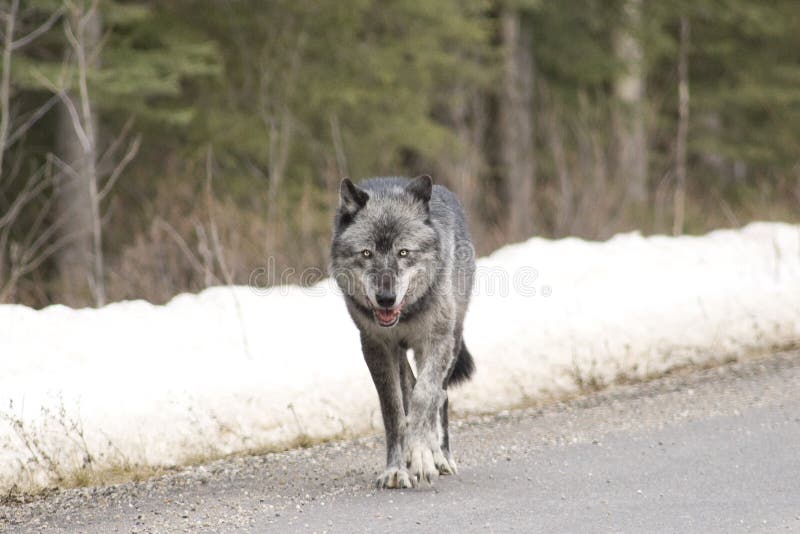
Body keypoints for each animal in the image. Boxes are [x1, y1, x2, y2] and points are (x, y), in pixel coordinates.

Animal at [330, 175, 476, 489]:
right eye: (367, 253)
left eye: (403, 252)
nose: (386, 298)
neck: (406, 314)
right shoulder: (376, 347)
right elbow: (394, 411)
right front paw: (396, 469)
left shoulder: (436, 341)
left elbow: (425, 397)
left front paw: (421, 455)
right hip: (400, 354)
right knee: (409, 387)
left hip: (452, 342)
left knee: (439, 397)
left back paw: (440, 457)